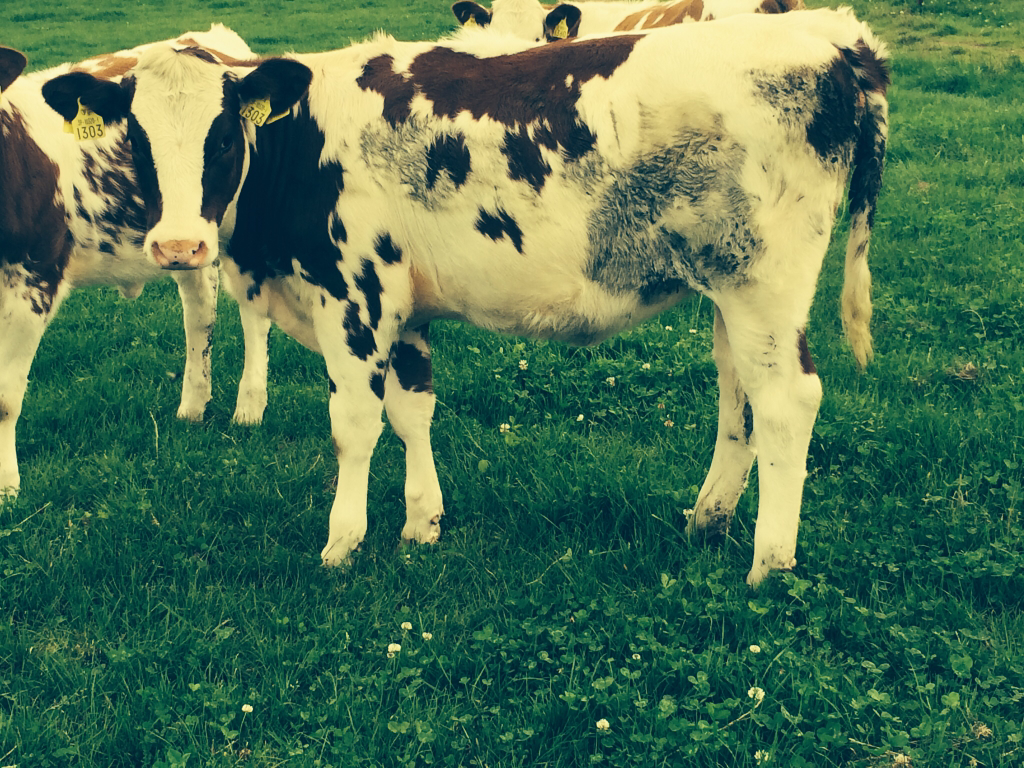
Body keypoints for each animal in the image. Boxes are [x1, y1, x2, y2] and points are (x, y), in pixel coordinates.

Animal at [0, 25, 273, 499]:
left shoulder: (32, 279)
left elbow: (4, 398)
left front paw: (6, 487)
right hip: (187, 243)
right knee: (200, 313)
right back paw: (192, 405)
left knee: (254, 315)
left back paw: (249, 407)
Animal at [42, 7, 889, 585]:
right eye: (135, 140)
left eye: (223, 137)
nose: (178, 247)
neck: (303, 148)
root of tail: (835, 44)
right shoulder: (404, 306)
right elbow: (412, 410)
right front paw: (422, 522)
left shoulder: (355, 297)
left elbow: (355, 425)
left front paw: (342, 540)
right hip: (729, 293)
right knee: (738, 398)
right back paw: (707, 519)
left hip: (764, 288)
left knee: (787, 404)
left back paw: (769, 563)